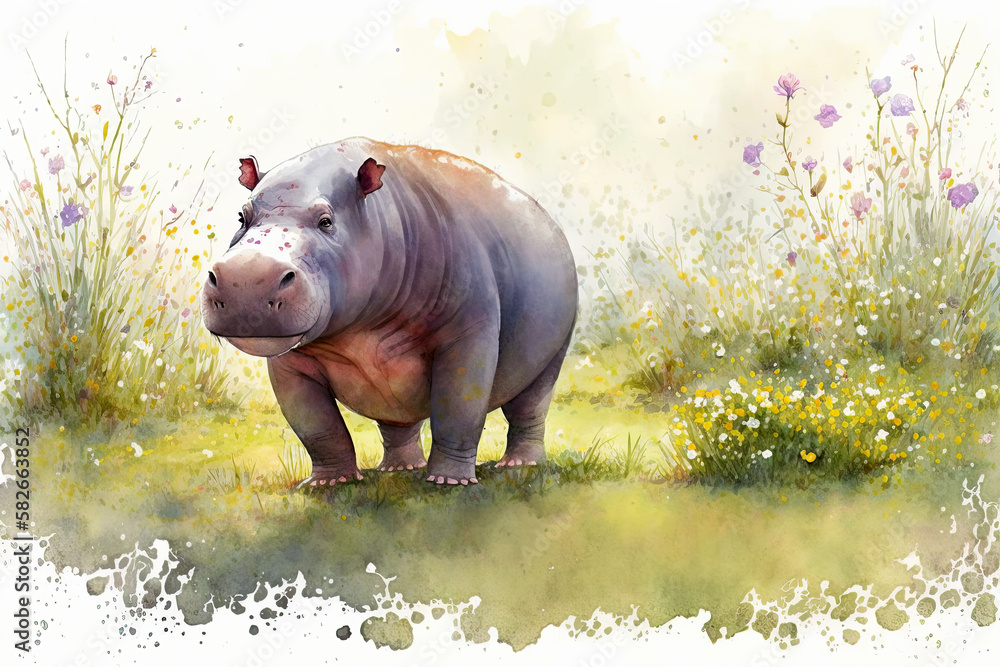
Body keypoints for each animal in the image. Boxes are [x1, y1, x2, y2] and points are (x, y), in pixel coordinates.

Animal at [202, 137, 578, 486]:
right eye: (241, 216)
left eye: (326, 221)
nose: (246, 278)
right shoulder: (290, 365)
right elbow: (319, 427)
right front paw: (330, 484)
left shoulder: (469, 335)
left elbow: (458, 409)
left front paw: (448, 483)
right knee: (397, 423)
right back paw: (399, 470)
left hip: (551, 356)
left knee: (528, 411)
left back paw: (519, 465)